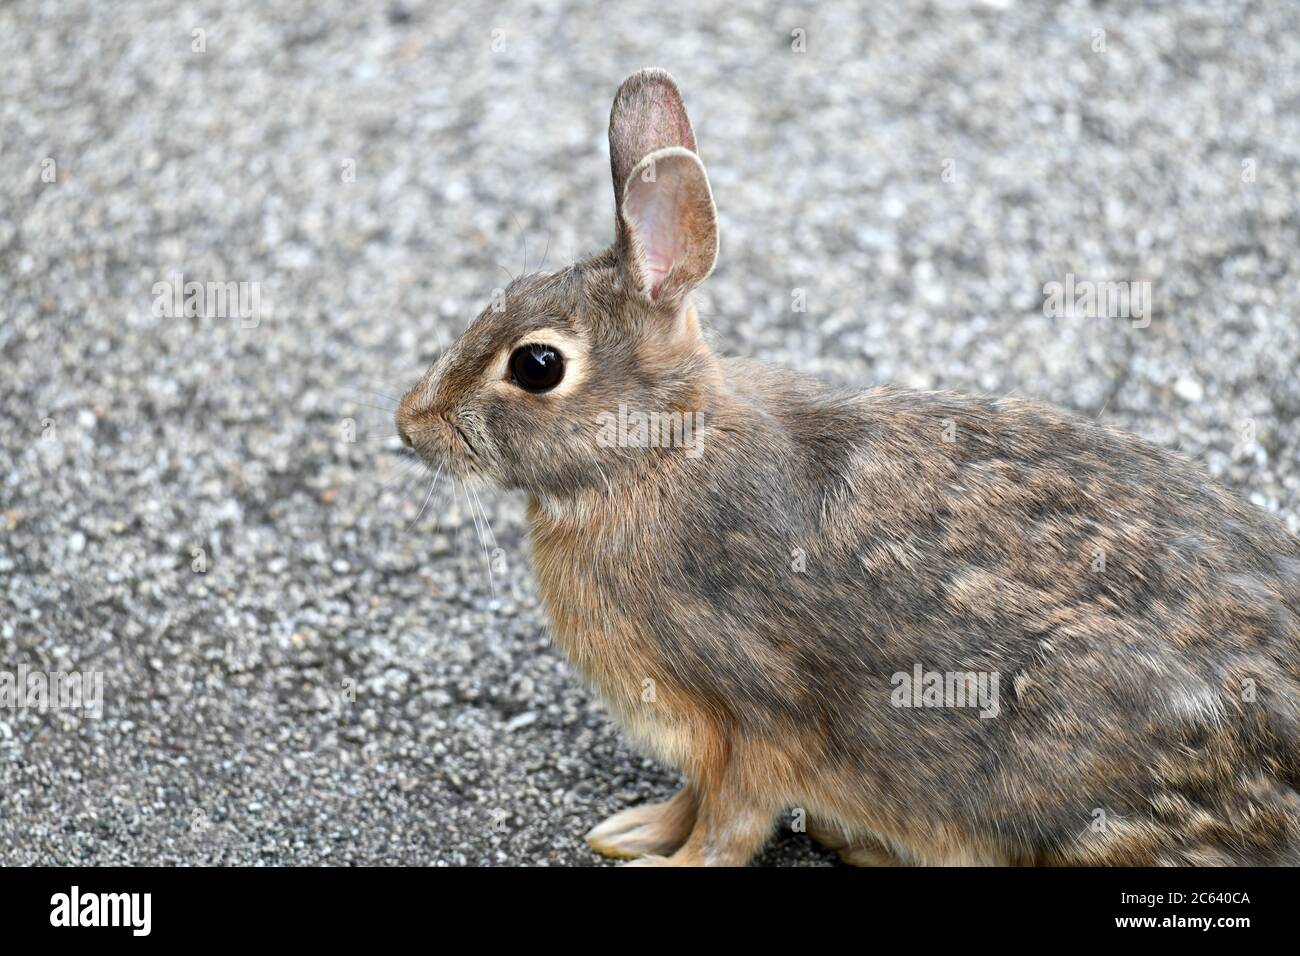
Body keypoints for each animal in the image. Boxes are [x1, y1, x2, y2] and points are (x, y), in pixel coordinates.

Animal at [396, 68, 1300, 866]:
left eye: (536, 365)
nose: (409, 424)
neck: (656, 451)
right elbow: (690, 799)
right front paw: (631, 832)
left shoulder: (752, 717)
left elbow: (730, 820)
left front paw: (665, 863)